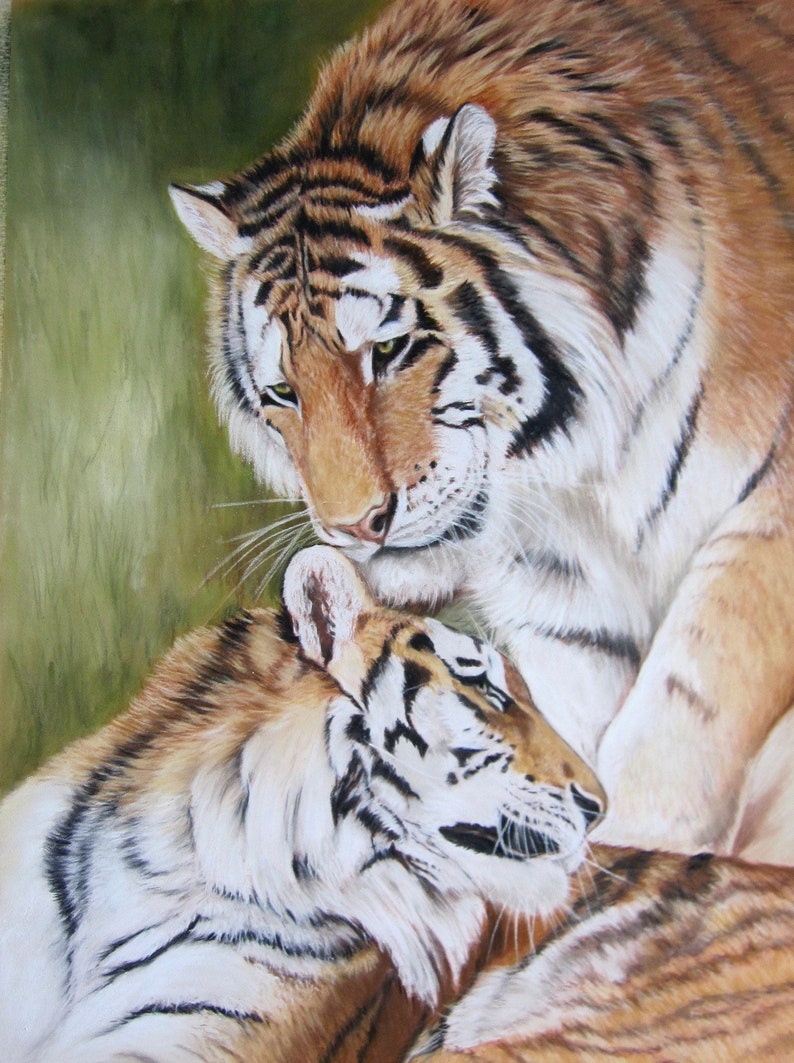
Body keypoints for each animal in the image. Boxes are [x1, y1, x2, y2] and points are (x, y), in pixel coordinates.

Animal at [169, 0, 794, 861]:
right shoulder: (568, 591)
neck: (583, 468)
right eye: (283, 391)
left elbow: (694, 689)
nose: (353, 527)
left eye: (390, 349)